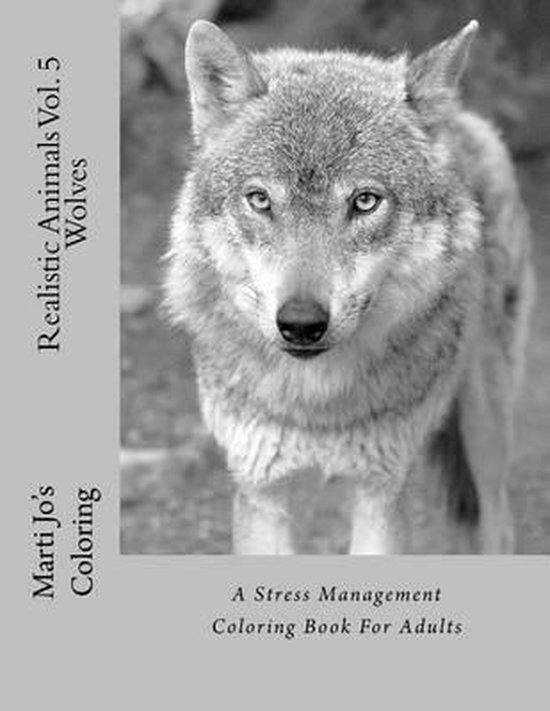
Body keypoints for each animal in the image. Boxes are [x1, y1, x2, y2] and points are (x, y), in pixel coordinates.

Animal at [164, 19, 535, 554]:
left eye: (364, 201)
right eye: (260, 199)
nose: (301, 323)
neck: (316, 404)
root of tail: (462, 120)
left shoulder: (381, 489)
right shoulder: (260, 488)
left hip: (486, 424)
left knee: (498, 523)